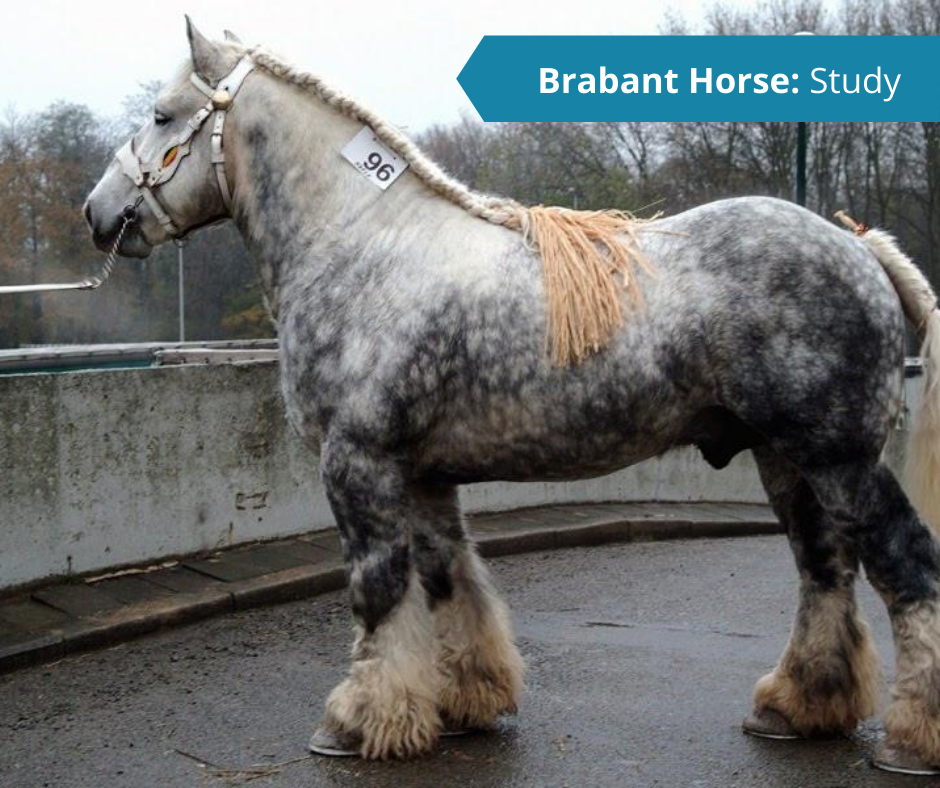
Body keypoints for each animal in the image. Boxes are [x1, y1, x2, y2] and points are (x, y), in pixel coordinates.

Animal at [84, 19, 940, 773]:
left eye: (162, 114)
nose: (98, 213)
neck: (364, 246)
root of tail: (860, 245)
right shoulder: (423, 473)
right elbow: (447, 582)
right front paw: (466, 700)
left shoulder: (358, 463)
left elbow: (377, 589)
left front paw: (358, 722)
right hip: (787, 460)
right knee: (823, 570)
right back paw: (798, 707)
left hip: (839, 458)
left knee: (904, 565)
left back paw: (907, 738)